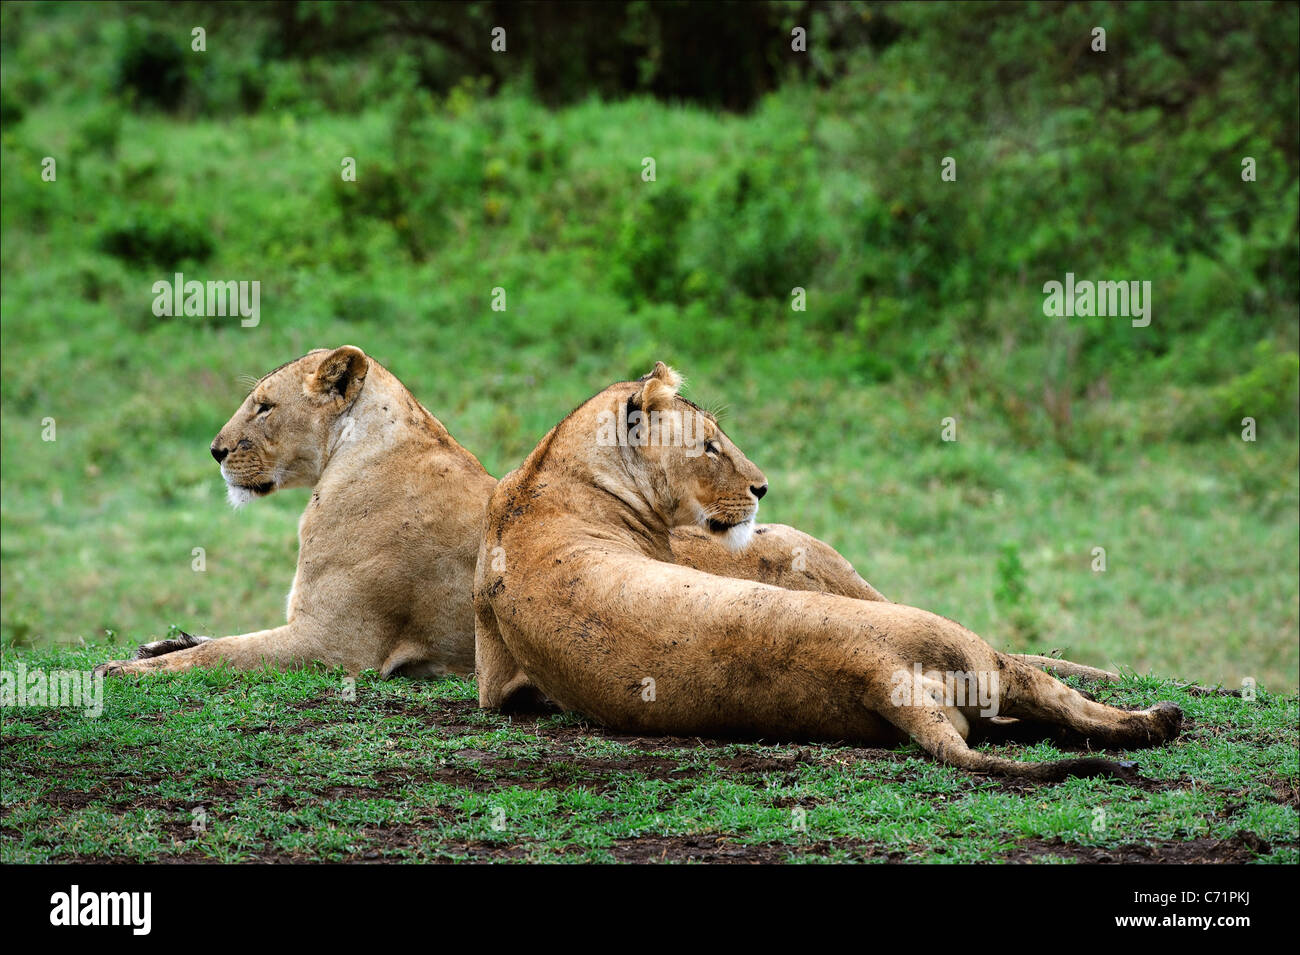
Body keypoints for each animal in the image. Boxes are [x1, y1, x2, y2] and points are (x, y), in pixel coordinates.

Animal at [95, 347, 1120, 690]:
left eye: (263, 406)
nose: (216, 451)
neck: (349, 461)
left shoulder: (336, 646)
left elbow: (216, 659)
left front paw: (122, 668)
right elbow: (210, 637)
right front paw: (155, 639)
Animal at [472, 362, 1183, 780]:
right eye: (709, 446)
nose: (763, 488)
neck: (547, 474)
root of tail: (874, 674)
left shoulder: (494, 676)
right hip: (959, 644)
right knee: (1058, 699)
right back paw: (1160, 719)